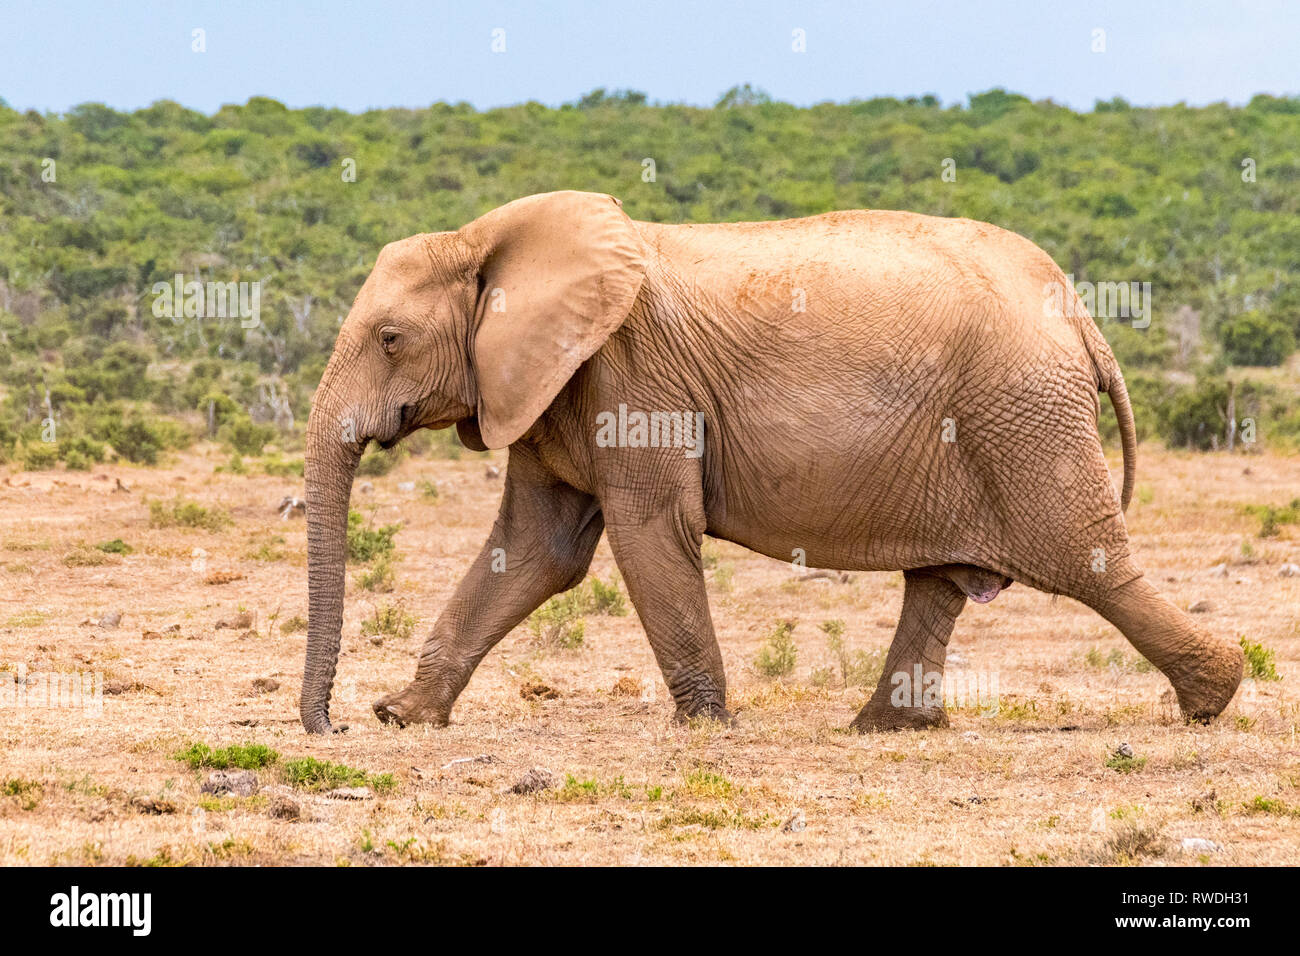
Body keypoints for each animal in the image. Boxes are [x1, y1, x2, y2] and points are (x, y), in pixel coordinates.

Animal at [300, 189, 1243, 735]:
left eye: (390, 339)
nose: (327, 728)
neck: (489, 239)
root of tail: (1081, 315)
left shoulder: (630, 376)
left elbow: (647, 533)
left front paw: (705, 729)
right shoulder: (547, 381)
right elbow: (537, 552)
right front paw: (404, 717)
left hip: (1023, 417)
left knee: (1090, 564)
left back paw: (1213, 698)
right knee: (941, 580)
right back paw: (881, 728)